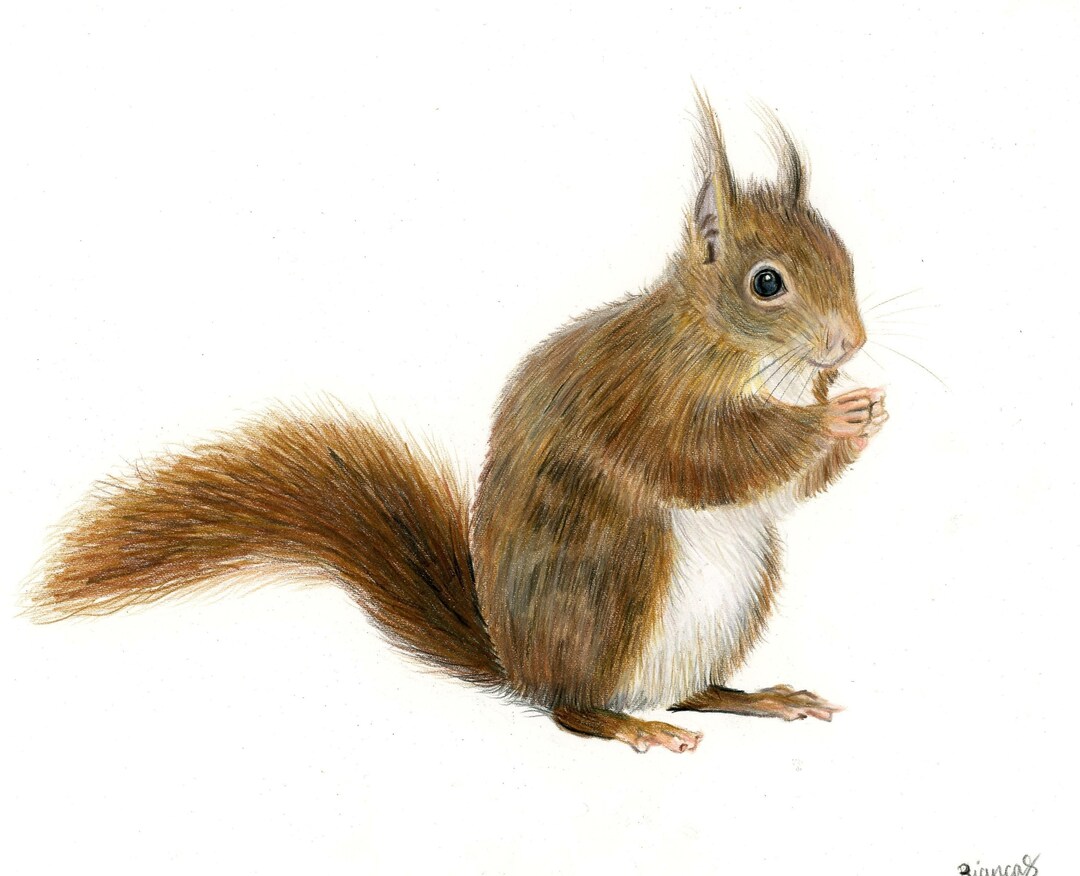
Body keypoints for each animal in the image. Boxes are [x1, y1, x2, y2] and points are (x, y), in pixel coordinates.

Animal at [27, 91, 887, 754]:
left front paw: (866, 411)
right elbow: (708, 459)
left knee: (690, 691)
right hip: (612, 584)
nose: (852, 344)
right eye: (767, 283)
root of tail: (519, 667)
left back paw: (755, 698)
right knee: (575, 710)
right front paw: (834, 418)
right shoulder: (642, 394)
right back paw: (629, 726)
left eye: (845, 255)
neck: (734, 351)